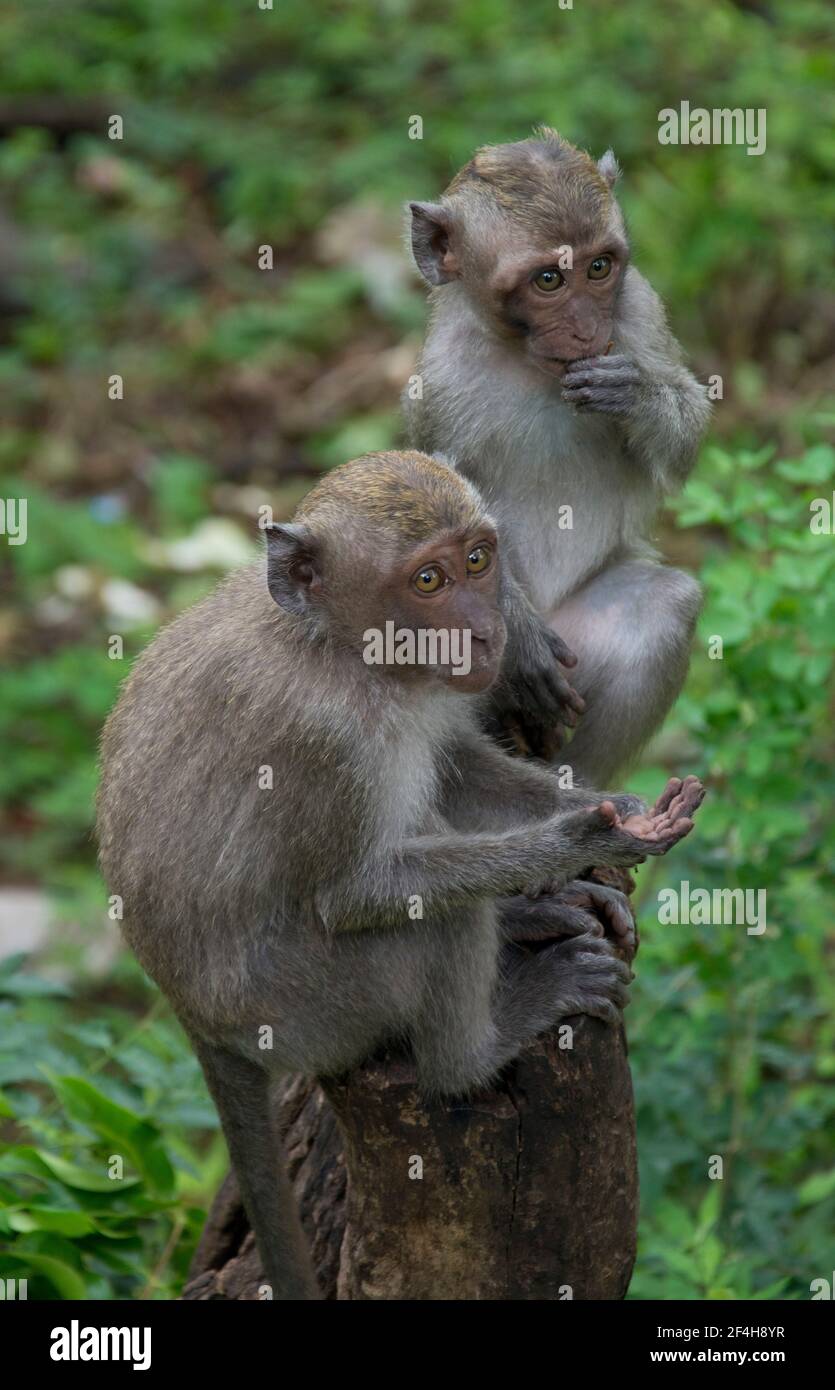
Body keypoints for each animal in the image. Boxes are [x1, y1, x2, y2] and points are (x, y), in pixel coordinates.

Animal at [97, 449, 705, 1299]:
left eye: (477, 561)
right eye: (426, 580)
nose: (486, 631)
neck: (345, 652)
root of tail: (190, 1013)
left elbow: (456, 770)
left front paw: (618, 811)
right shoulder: (322, 741)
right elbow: (352, 894)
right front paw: (577, 837)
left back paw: (527, 919)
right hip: (311, 1010)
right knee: (436, 920)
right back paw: (479, 1046)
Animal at [405, 128, 711, 783]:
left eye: (598, 267)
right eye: (548, 280)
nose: (587, 329)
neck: (522, 356)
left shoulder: (639, 306)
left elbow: (686, 440)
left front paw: (636, 395)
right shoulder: (439, 378)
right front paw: (519, 637)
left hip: (575, 656)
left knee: (664, 606)